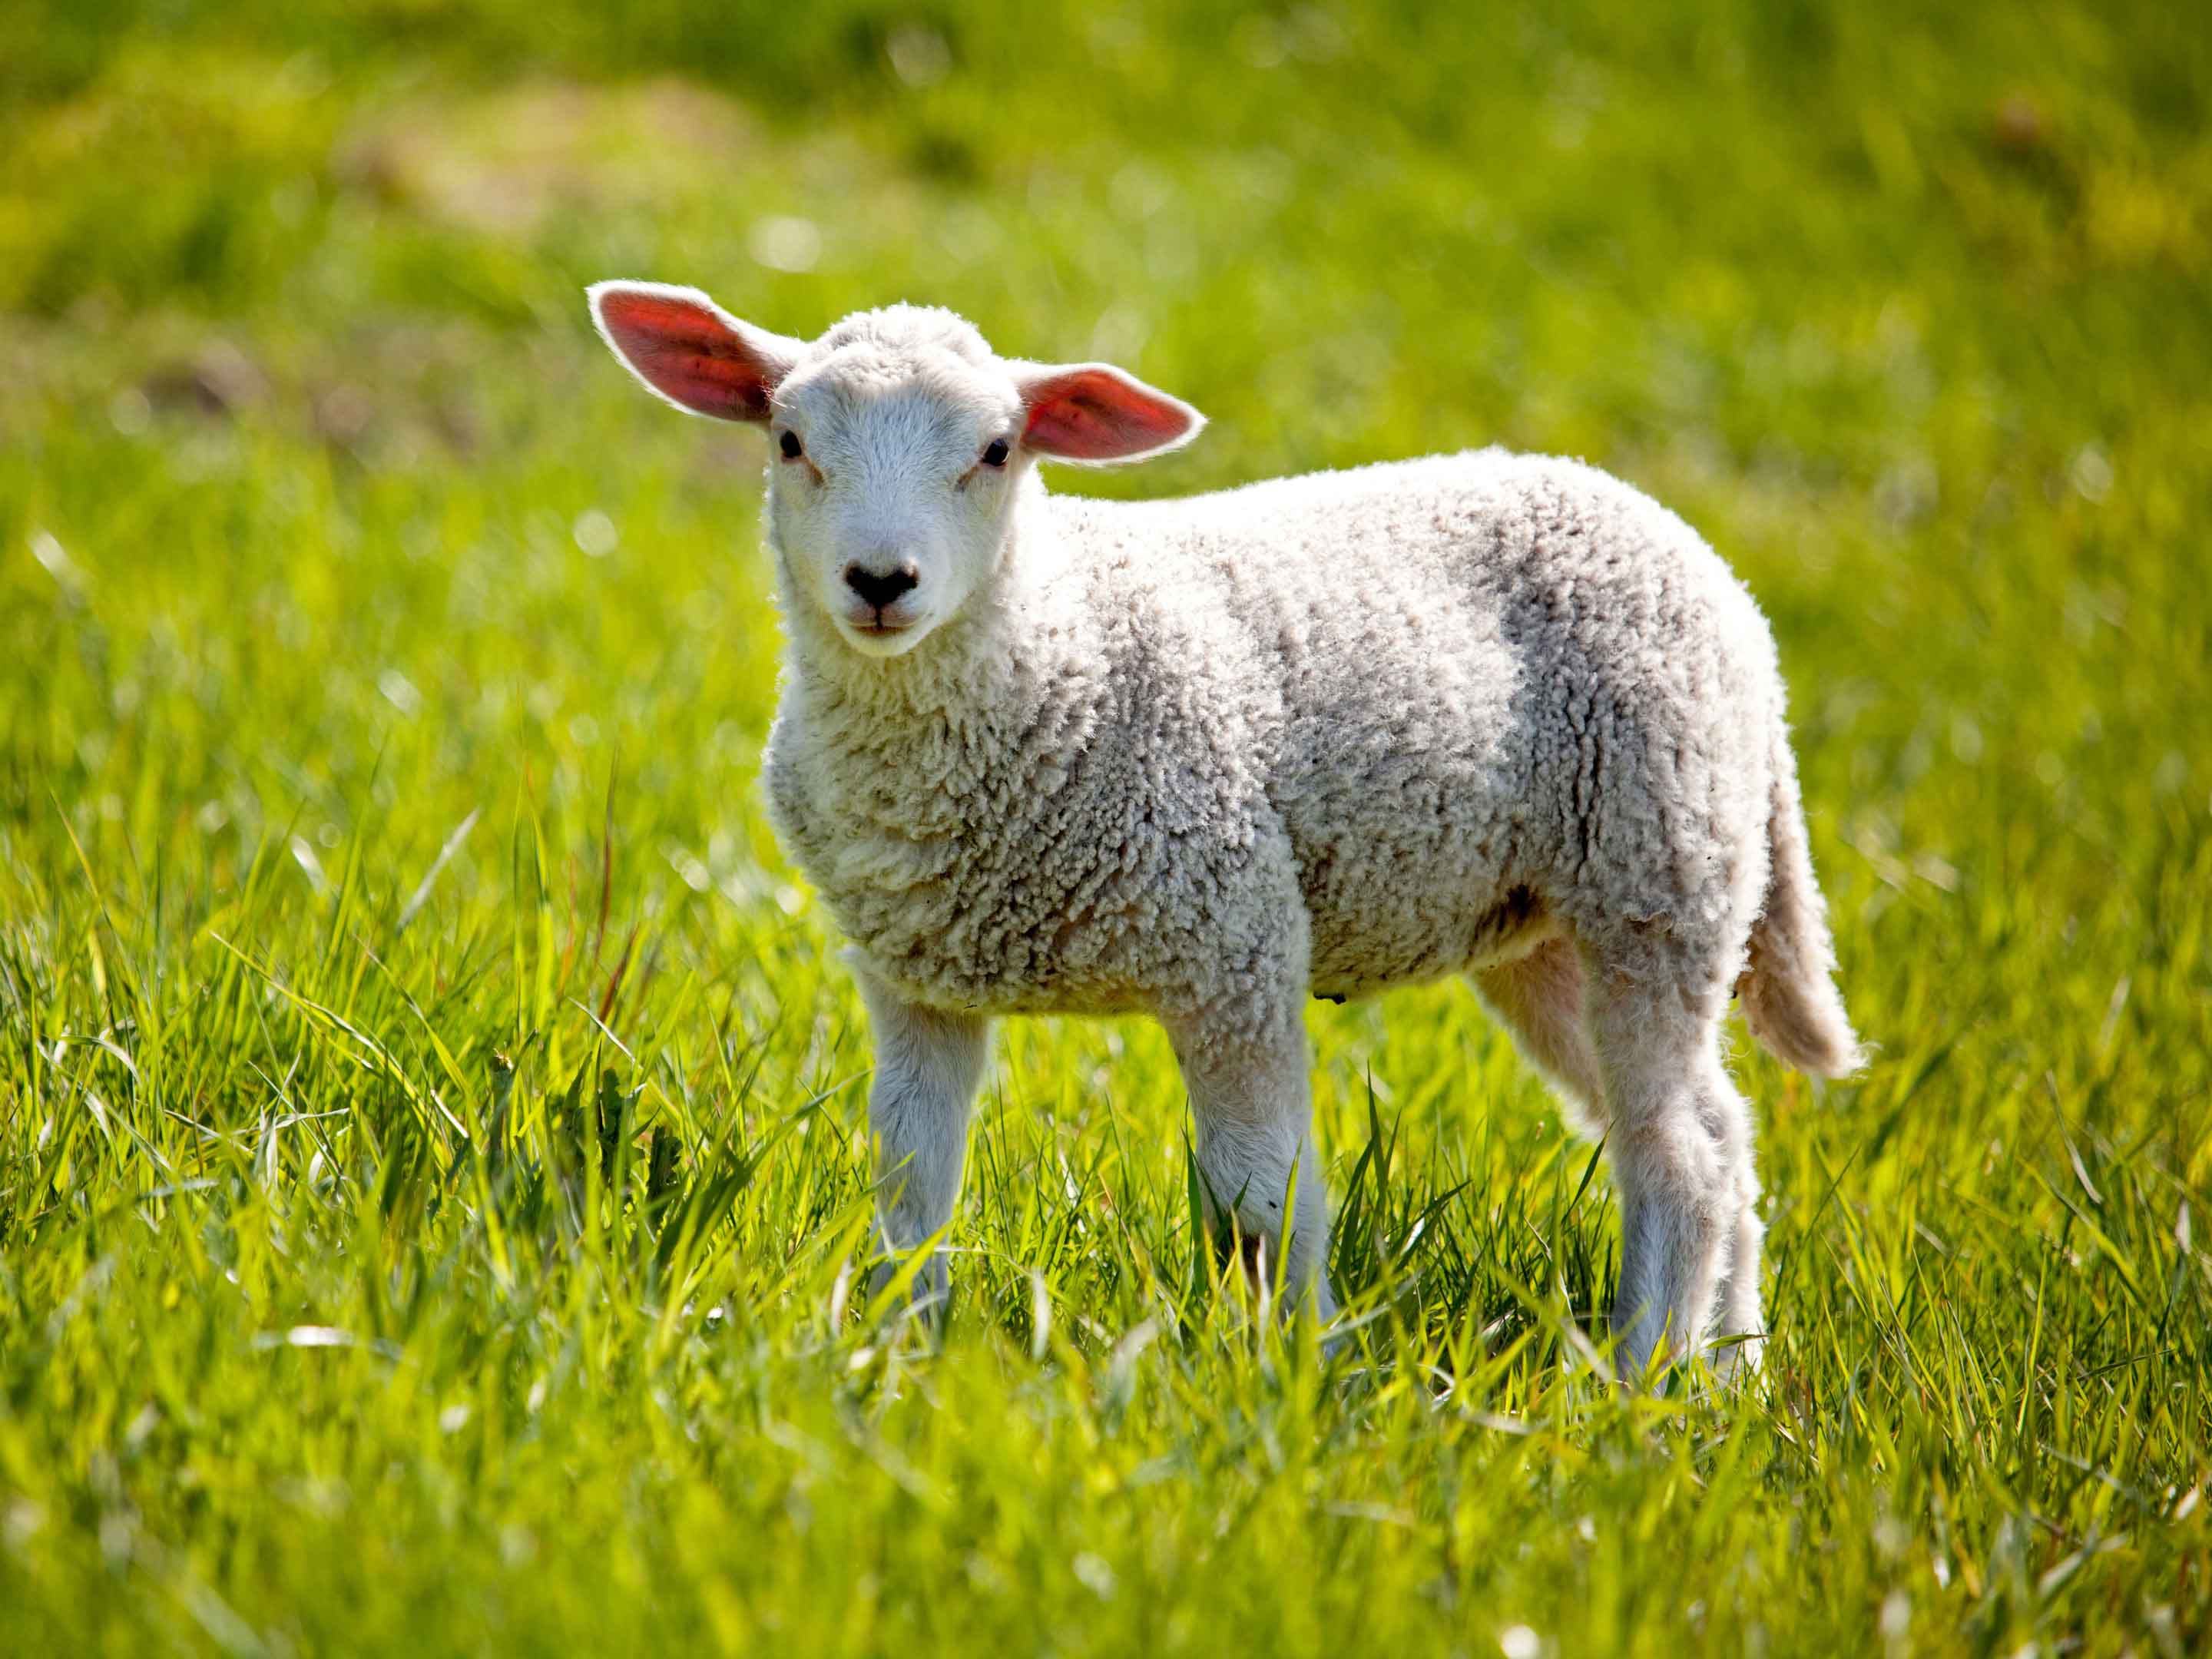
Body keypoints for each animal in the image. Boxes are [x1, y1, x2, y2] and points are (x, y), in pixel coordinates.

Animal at [587, 281, 1863, 1378]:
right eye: (790, 444)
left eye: (997, 453)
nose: (881, 580)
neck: (1053, 653)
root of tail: (1715, 580)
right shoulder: (914, 982)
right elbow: (912, 1188)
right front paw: (898, 1356)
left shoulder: (1233, 941)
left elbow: (1264, 1195)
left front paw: (1302, 1373)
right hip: (1546, 923)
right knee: (1717, 1129)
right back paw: (1729, 1375)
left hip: (1660, 859)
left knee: (1679, 1152)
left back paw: (1646, 1382)